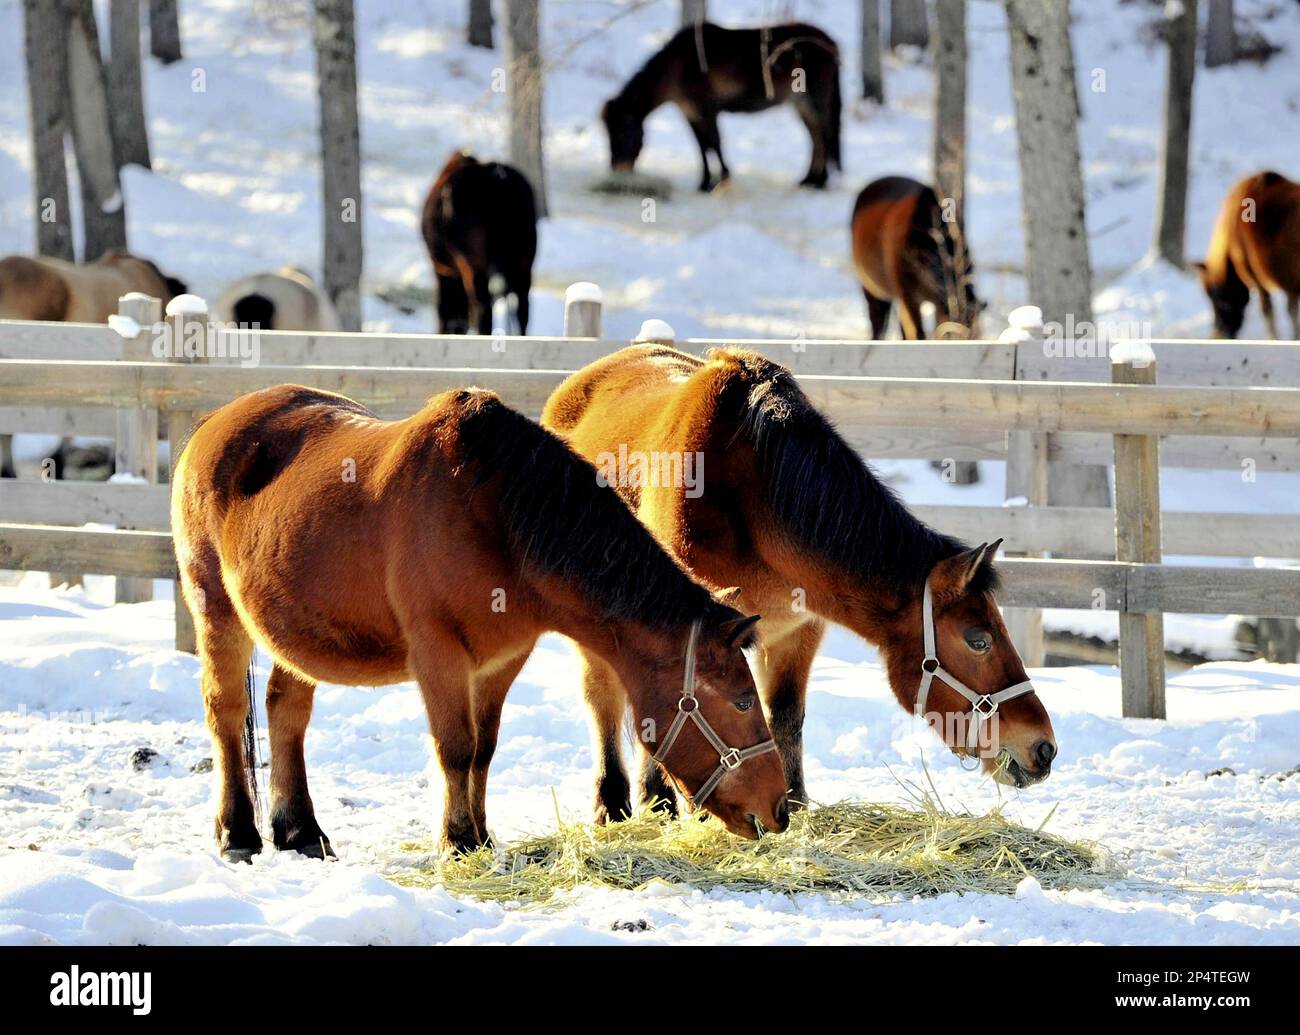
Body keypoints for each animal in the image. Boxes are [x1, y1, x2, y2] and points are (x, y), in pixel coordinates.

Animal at [172, 384, 790, 860]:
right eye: (741, 701)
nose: (780, 808)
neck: (498, 518)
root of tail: (212, 424)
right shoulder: (438, 655)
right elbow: (456, 747)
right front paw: (457, 840)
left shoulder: (500, 661)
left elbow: (484, 748)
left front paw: (483, 837)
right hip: (216, 610)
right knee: (226, 711)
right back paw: (238, 832)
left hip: (294, 630)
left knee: (287, 711)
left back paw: (300, 830)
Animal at [420, 151, 537, 335]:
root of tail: (497, 176)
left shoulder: (442, 270)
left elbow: (444, 308)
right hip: (525, 261)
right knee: (522, 308)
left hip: (474, 264)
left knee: (483, 308)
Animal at [542, 345, 1057, 820]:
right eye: (978, 640)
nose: (1044, 748)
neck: (753, 501)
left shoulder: (798, 629)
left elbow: (785, 717)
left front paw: (793, 801)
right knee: (602, 697)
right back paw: (617, 802)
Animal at [601, 22, 842, 192]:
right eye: (609, 135)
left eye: (622, 132)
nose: (617, 170)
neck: (677, 66)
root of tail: (831, 43)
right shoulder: (690, 114)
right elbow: (701, 147)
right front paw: (704, 183)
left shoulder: (707, 111)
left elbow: (715, 144)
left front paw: (723, 179)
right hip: (801, 104)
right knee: (817, 138)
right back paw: (809, 180)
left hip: (817, 100)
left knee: (825, 136)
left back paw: (819, 183)